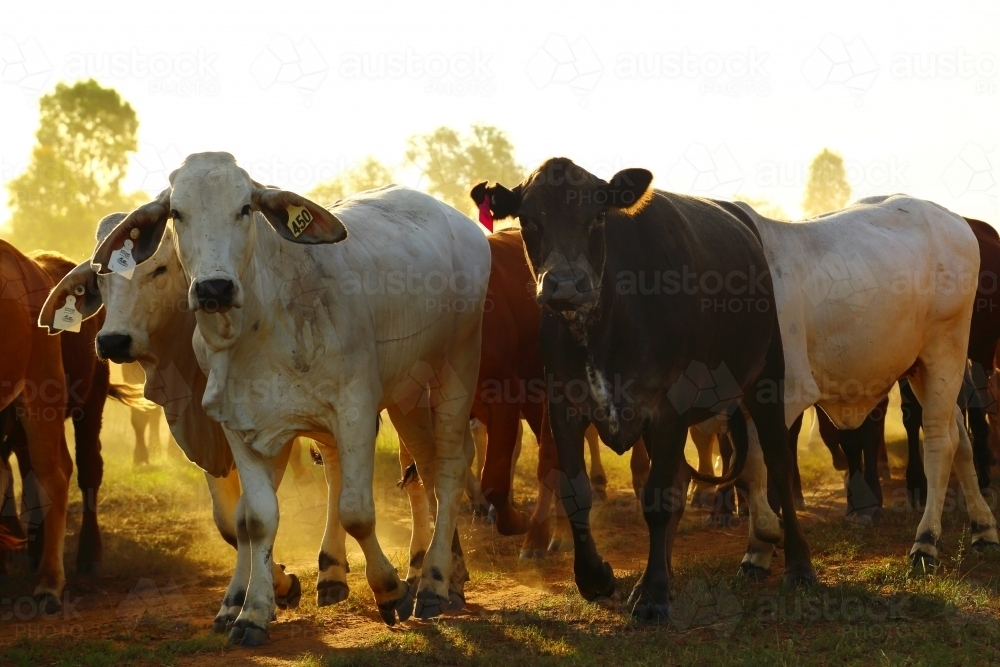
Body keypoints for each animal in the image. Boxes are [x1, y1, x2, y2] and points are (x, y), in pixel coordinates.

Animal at [90, 153, 490, 645]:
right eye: (177, 213)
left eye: (245, 208)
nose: (214, 289)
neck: (263, 321)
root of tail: (459, 221)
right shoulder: (239, 425)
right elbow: (256, 519)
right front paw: (251, 613)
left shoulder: (355, 411)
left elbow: (356, 511)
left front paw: (389, 590)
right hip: (407, 393)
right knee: (428, 466)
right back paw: (443, 573)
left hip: (457, 364)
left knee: (451, 465)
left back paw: (433, 583)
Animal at [472, 158, 814, 621]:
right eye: (528, 218)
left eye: (598, 215)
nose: (565, 284)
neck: (604, 325)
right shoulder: (564, 405)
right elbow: (577, 491)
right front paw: (597, 577)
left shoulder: (668, 407)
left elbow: (656, 500)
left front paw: (652, 595)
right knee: (681, 482)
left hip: (766, 379)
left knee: (776, 462)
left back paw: (798, 565)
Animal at [736, 196, 999, 572]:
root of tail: (951, 217)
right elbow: (749, 471)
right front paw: (760, 546)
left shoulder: (777, 396)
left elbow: (762, 464)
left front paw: (768, 545)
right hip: (922, 368)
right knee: (960, 439)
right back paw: (983, 528)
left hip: (946, 350)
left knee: (941, 441)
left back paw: (926, 542)